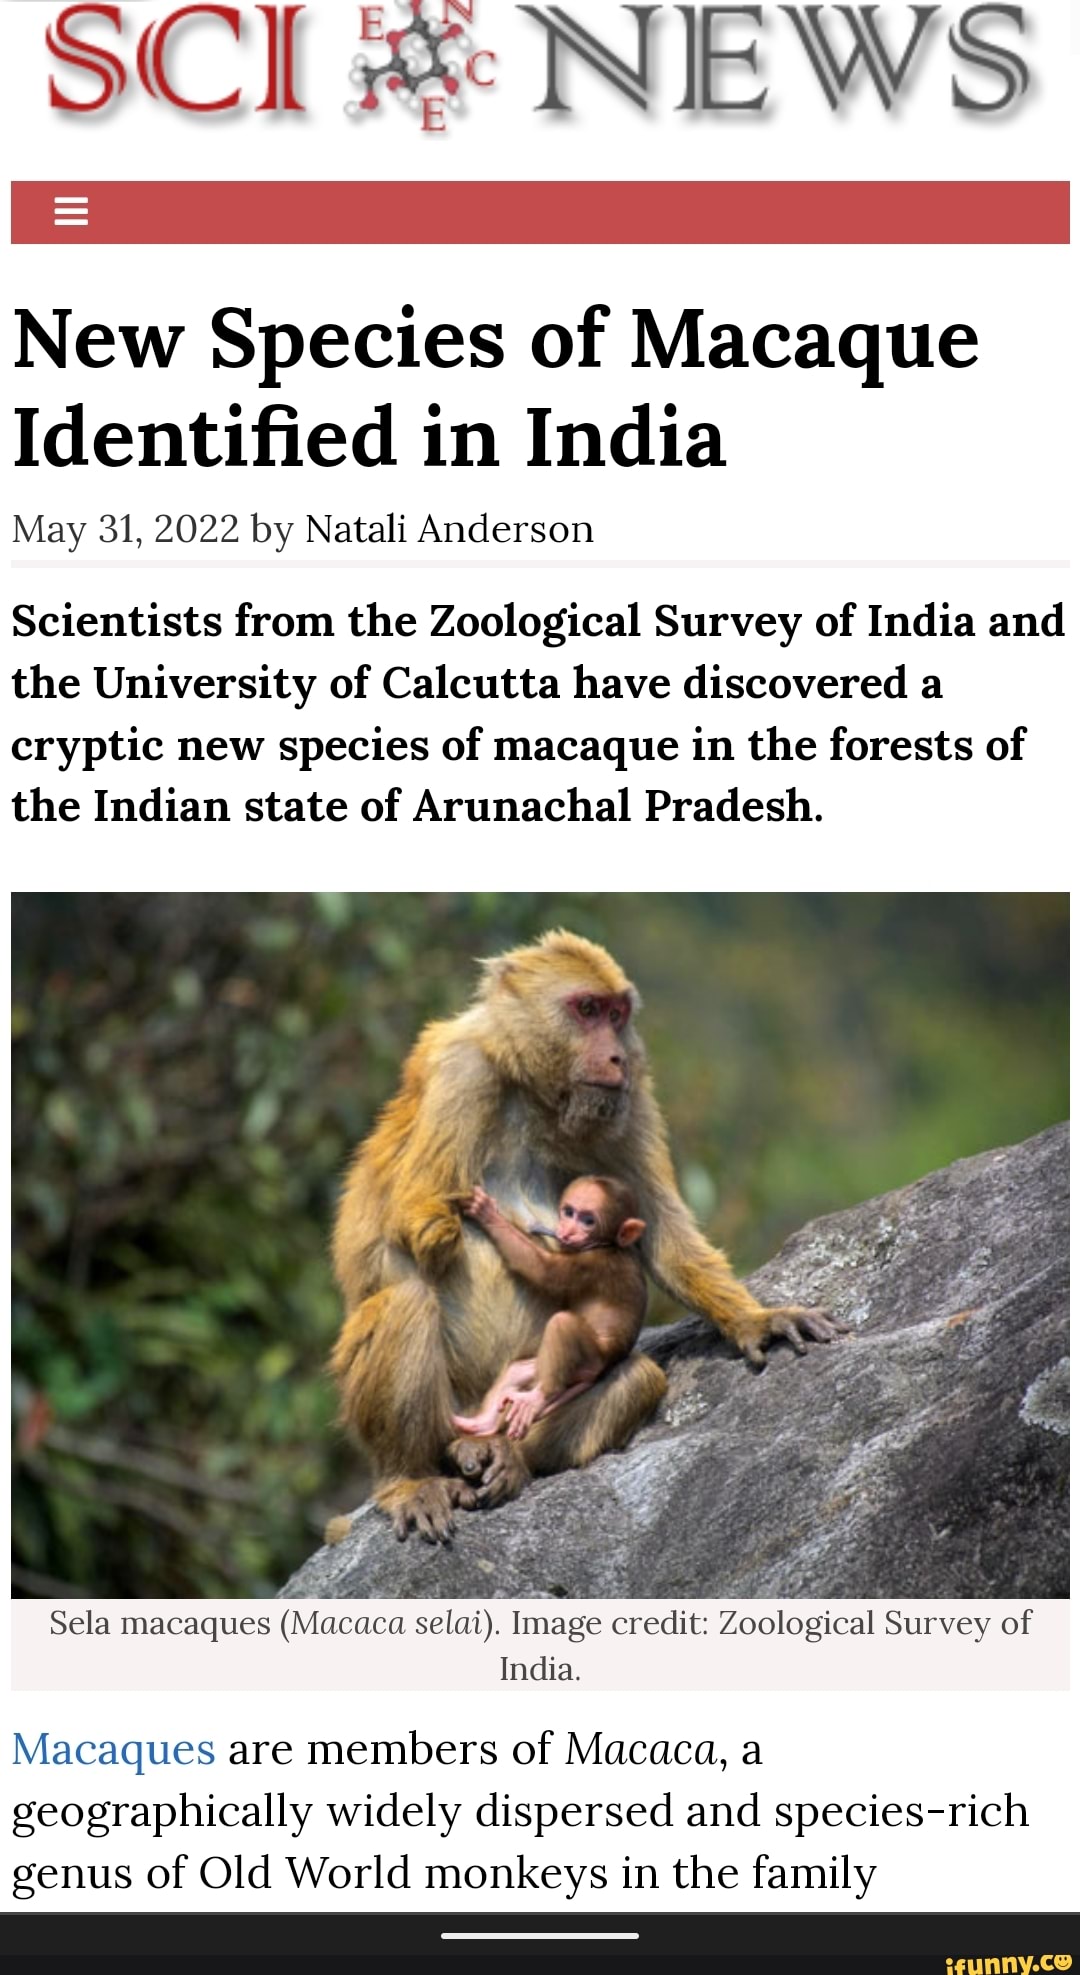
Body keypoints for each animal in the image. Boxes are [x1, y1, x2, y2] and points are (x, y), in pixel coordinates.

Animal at [449, 1176, 647, 1441]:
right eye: (569, 1212)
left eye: (588, 1221)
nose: (566, 1230)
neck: (609, 1245)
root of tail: (605, 1367)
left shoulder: (592, 1263)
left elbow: (542, 1269)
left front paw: (486, 1213)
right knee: (519, 1369)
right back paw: (484, 1423)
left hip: (592, 1358)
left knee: (562, 1325)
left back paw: (538, 1397)